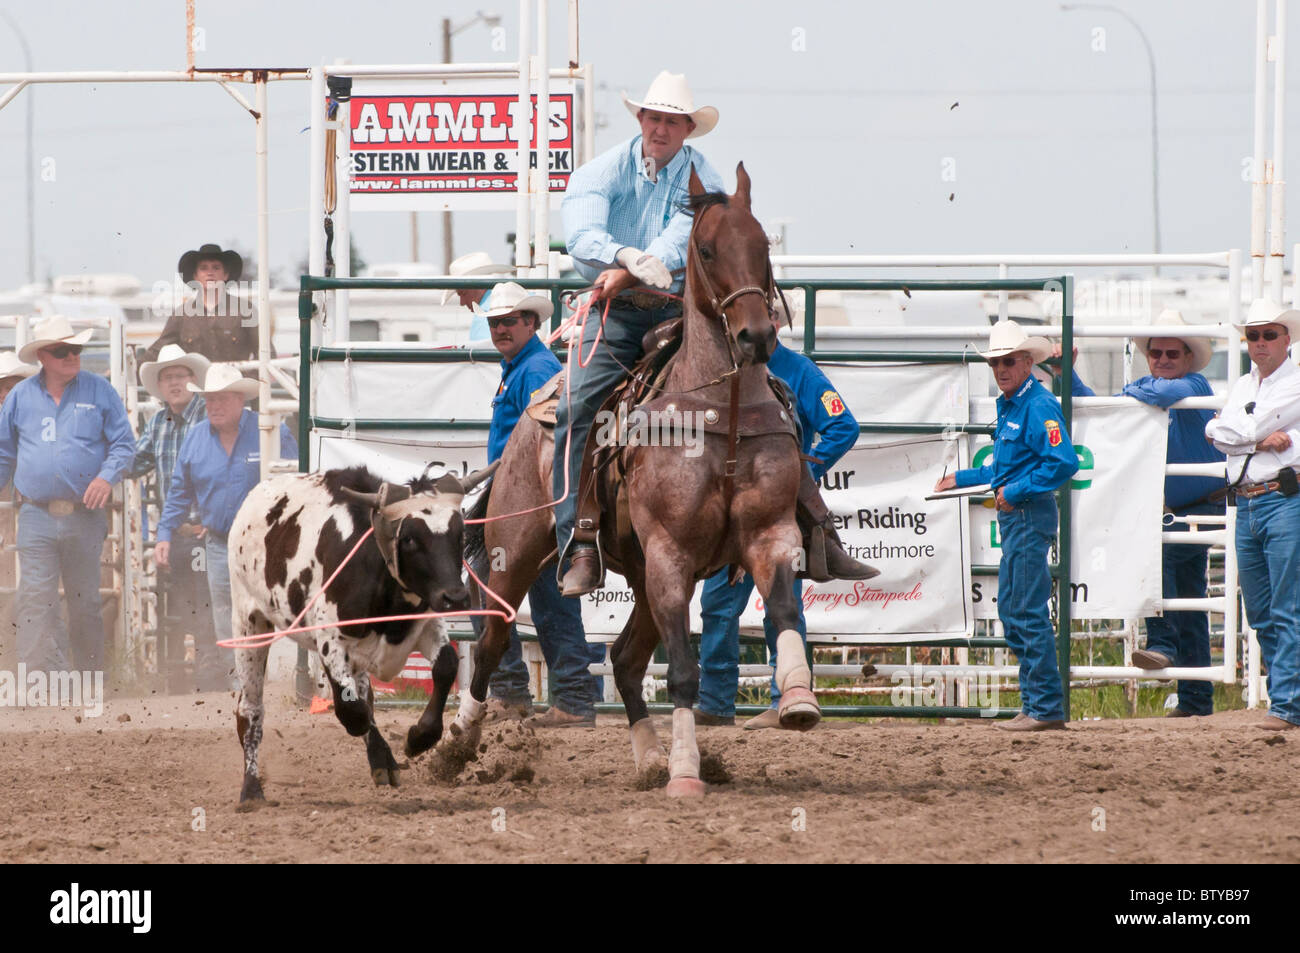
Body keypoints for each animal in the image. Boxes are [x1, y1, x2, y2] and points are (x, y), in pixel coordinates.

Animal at [228, 461, 497, 804]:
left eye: (459, 533)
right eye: (410, 538)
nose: (455, 597)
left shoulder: (424, 626)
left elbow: (445, 666)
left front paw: (418, 737)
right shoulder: (330, 640)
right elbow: (352, 710)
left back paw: (384, 761)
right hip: (249, 621)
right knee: (250, 710)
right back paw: (251, 790)